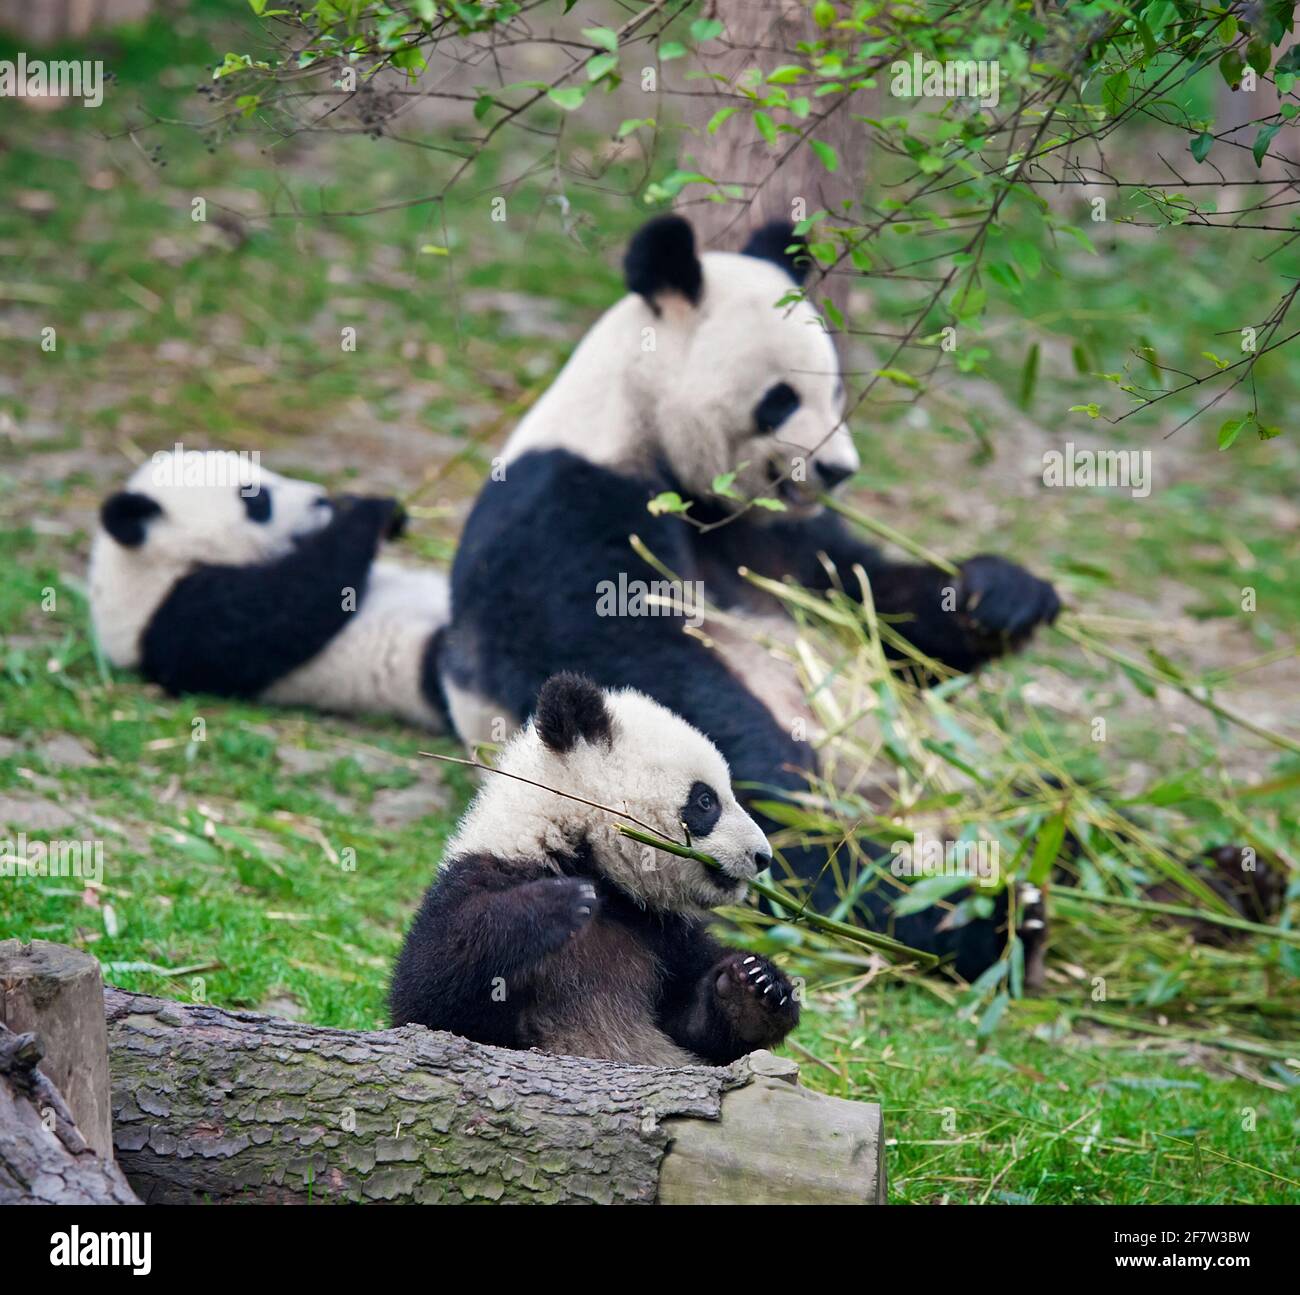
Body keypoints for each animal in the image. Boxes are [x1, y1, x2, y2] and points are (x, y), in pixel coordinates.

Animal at [90, 449, 450, 730]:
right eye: (257, 498)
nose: (320, 497)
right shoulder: (176, 616)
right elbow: (288, 608)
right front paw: (368, 512)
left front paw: (377, 510)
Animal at [389, 672, 799, 1067]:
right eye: (705, 800)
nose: (762, 857)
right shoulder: (478, 876)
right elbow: (431, 995)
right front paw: (557, 903)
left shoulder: (661, 934)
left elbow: (698, 1026)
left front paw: (756, 986)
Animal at [438, 215, 1061, 980]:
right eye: (782, 397)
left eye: (838, 392)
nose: (837, 469)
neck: (636, 419)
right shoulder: (563, 505)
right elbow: (617, 646)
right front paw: (786, 757)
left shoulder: (781, 541)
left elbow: (876, 610)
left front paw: (999, 596)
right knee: (824, 865)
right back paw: (980, 921)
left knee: (1046, 795)